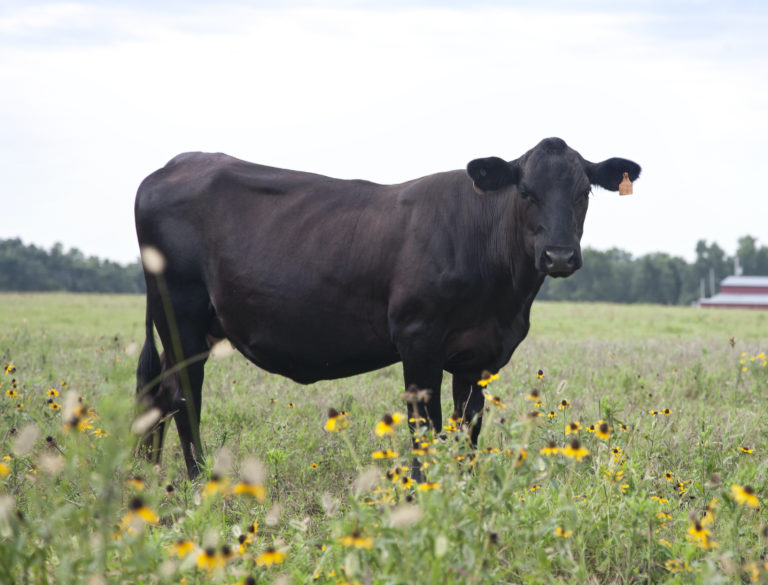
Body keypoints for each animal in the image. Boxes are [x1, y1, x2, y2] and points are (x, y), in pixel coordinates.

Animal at [134, 137, 640, 479]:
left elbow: (467, 428)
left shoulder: (478, 356)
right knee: (184, 395)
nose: (559, 256)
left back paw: (148, 478)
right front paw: (424, 492)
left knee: (157, 393)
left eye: (583, 193)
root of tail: (174, 164)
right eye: (526, 192)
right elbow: (425, 428)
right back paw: (198, 480)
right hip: (180, 315)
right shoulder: (419, 340)